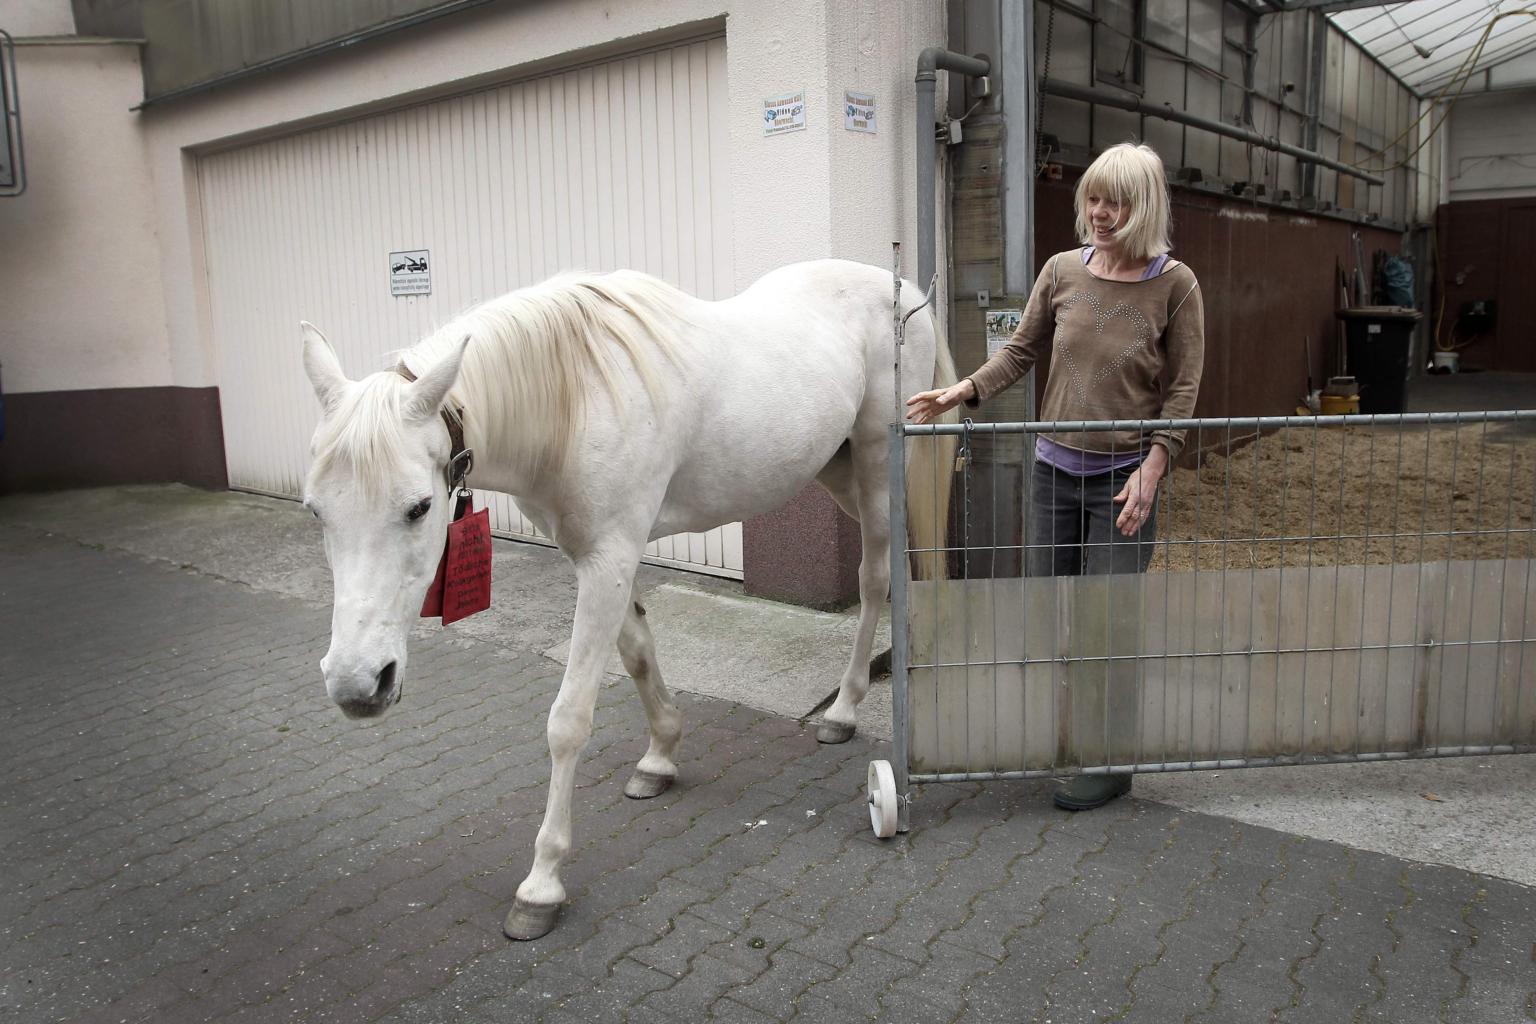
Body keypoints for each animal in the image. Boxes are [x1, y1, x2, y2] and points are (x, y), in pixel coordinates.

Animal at [300, 258, 955, 940]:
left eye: (419, 506)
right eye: (315, 509)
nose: (356, 684)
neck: (575, 392)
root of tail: (904, 290)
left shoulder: (609, 556)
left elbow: (569, 721)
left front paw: (541, 884)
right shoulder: (596, 556)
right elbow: (638, 652)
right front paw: (660, 757)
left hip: (880, 465)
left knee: (876, 578)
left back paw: (845, 709)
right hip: (835, 468)